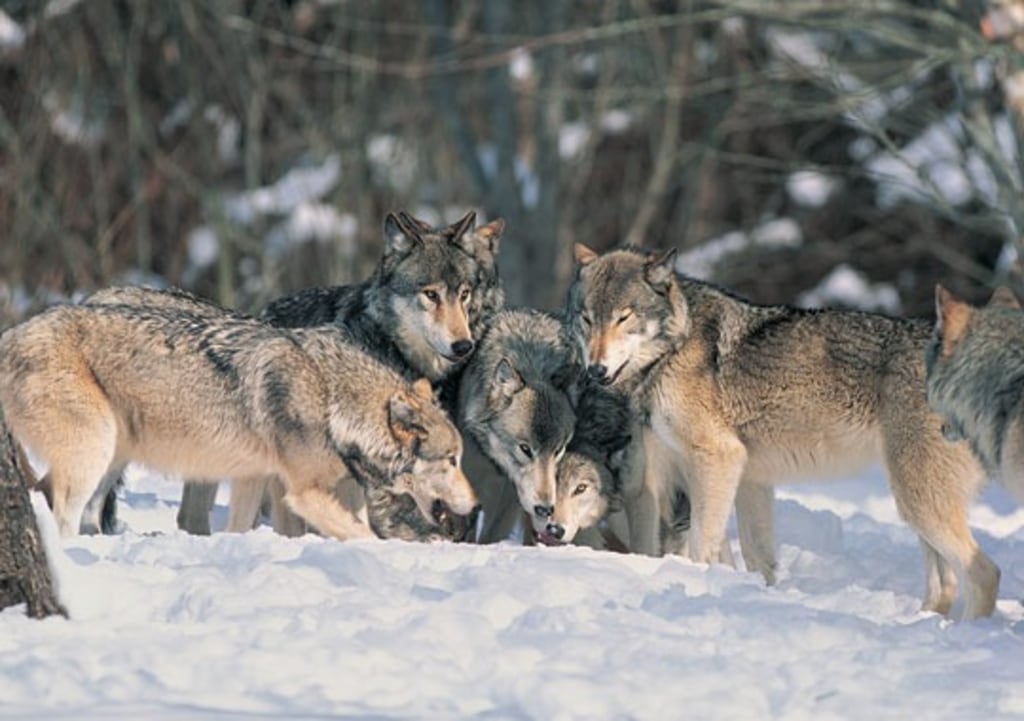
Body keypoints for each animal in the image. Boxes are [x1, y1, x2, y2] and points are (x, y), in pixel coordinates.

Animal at [0, 300, 478, 539]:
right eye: (452, 460)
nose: (476, 506)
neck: (332, 399)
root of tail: (13, 333)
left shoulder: (255, 477)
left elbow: (240, 529)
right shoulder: (302, 493)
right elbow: (364, 535)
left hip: (110, 458)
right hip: (94, 451)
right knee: (61, 517)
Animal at [566, 244, 998, 619]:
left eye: (624, 317)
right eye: (587, 320)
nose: (596, 370)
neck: (671, 350)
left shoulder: (718, 459)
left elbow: (703, 543)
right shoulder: (745, 477)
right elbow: (754, 558)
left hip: (917, 500)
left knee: (985, 573)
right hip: (915, 504)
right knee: (946, 585)